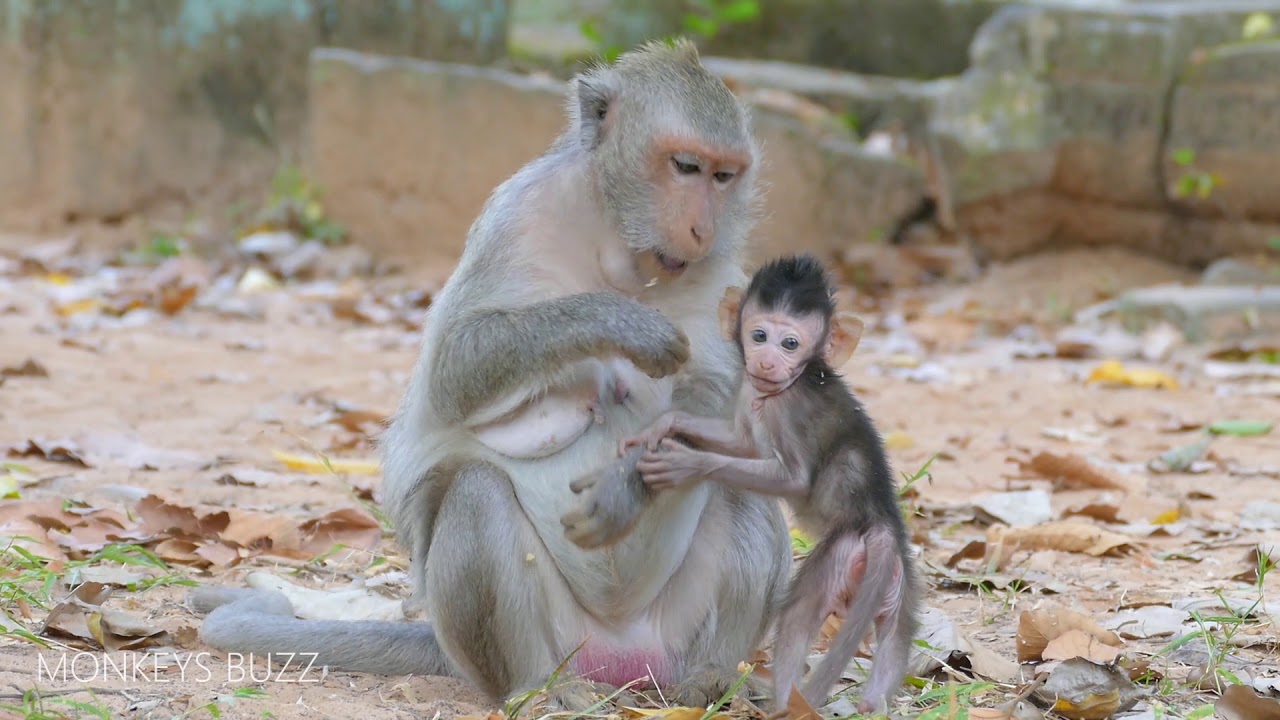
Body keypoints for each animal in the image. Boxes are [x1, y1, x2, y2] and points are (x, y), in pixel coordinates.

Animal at [188, 38, 794, 712]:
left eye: (723, 176)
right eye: (685, 167)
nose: (701, 228)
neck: (620, 249)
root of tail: (621, 662)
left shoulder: (725, 278)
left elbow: (708, 406)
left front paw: (625, 488)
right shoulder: (518, 213)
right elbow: (455, 367)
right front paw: (619, 323)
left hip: (670, 635)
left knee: (738, 482)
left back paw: (712, 678)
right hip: (543, 642)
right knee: (476, 491)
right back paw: (535, 689)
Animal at [619, 254, 920, 716]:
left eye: (790, 344)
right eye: (759, 335)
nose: (766, 361)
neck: (799, 378)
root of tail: (882, 524)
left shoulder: (787, 408)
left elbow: (793, 478)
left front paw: (686, 465)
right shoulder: (750, 392)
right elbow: (741, 441)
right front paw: (667, 423)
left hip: (843, 552)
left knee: (797, 619)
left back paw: (783, 703)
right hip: (898, 583)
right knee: (892, 643)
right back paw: (872, 703)